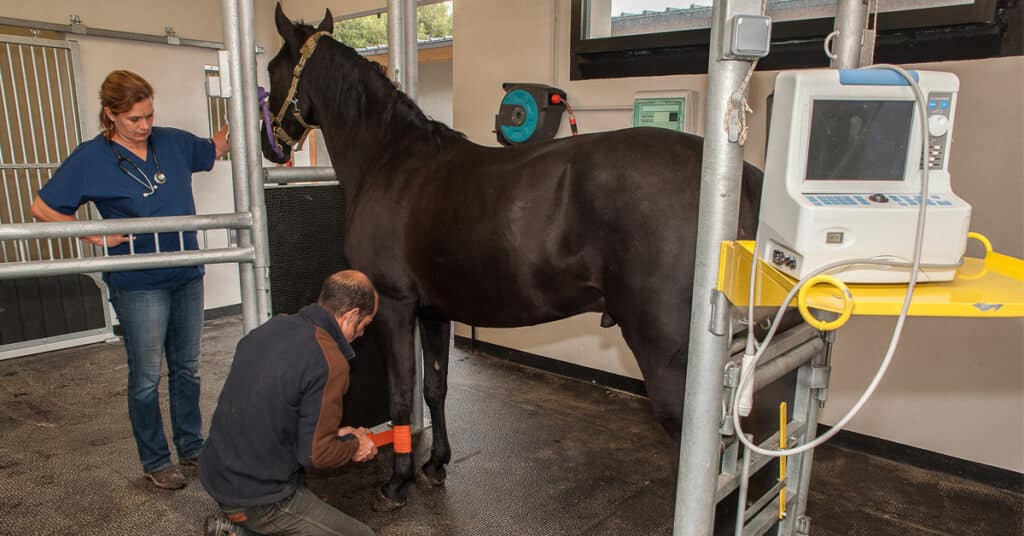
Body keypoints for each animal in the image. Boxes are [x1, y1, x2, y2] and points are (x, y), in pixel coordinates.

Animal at [263, 5, 763, 511]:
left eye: (270, 69)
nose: (271, 147)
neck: (390, 160)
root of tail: (737, 176)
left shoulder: (396, 307)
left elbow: (402, 396)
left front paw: (396, 482)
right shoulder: (433, 312)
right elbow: (435, 387)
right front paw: (435, 464)